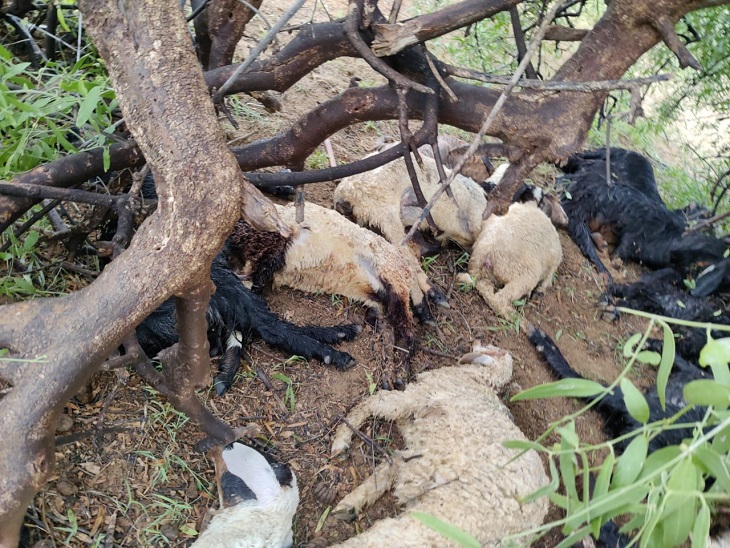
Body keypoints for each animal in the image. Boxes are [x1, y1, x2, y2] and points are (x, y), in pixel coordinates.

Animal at [329, 342, 549, 547]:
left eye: (489, 347)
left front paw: (341, 438)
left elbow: (374, 404)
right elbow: (389, 469)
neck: (479, 378)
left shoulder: (420, 397)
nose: (475, 341)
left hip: (438, 523)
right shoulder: (423, 452)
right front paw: (351, 504)